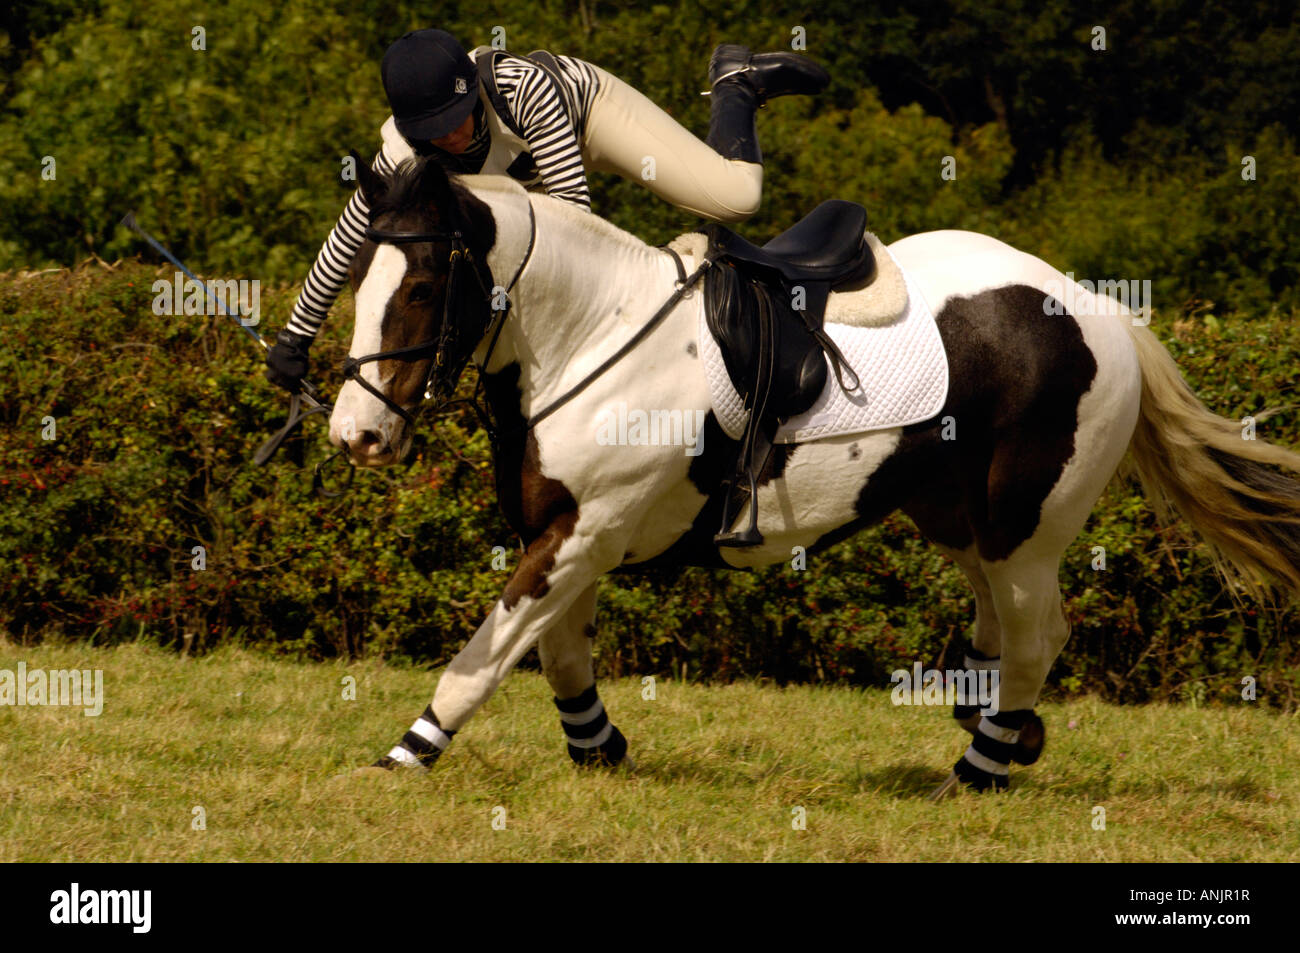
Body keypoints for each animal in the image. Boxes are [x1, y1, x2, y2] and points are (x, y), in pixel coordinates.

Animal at [327, 155, 1300, 796]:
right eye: (358, 280)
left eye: (421, 289)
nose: (356, 436)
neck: (593, 333)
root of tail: (1104, 312)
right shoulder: (564, 536)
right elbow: (559, 651)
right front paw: (600, 749)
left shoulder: (584, 533)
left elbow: (487, 654)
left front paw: (406, 752)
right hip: (957, 521)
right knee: (996, 627)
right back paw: (995, 721)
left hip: (1023, 531)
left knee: (1036, 637)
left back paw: (980, 766)